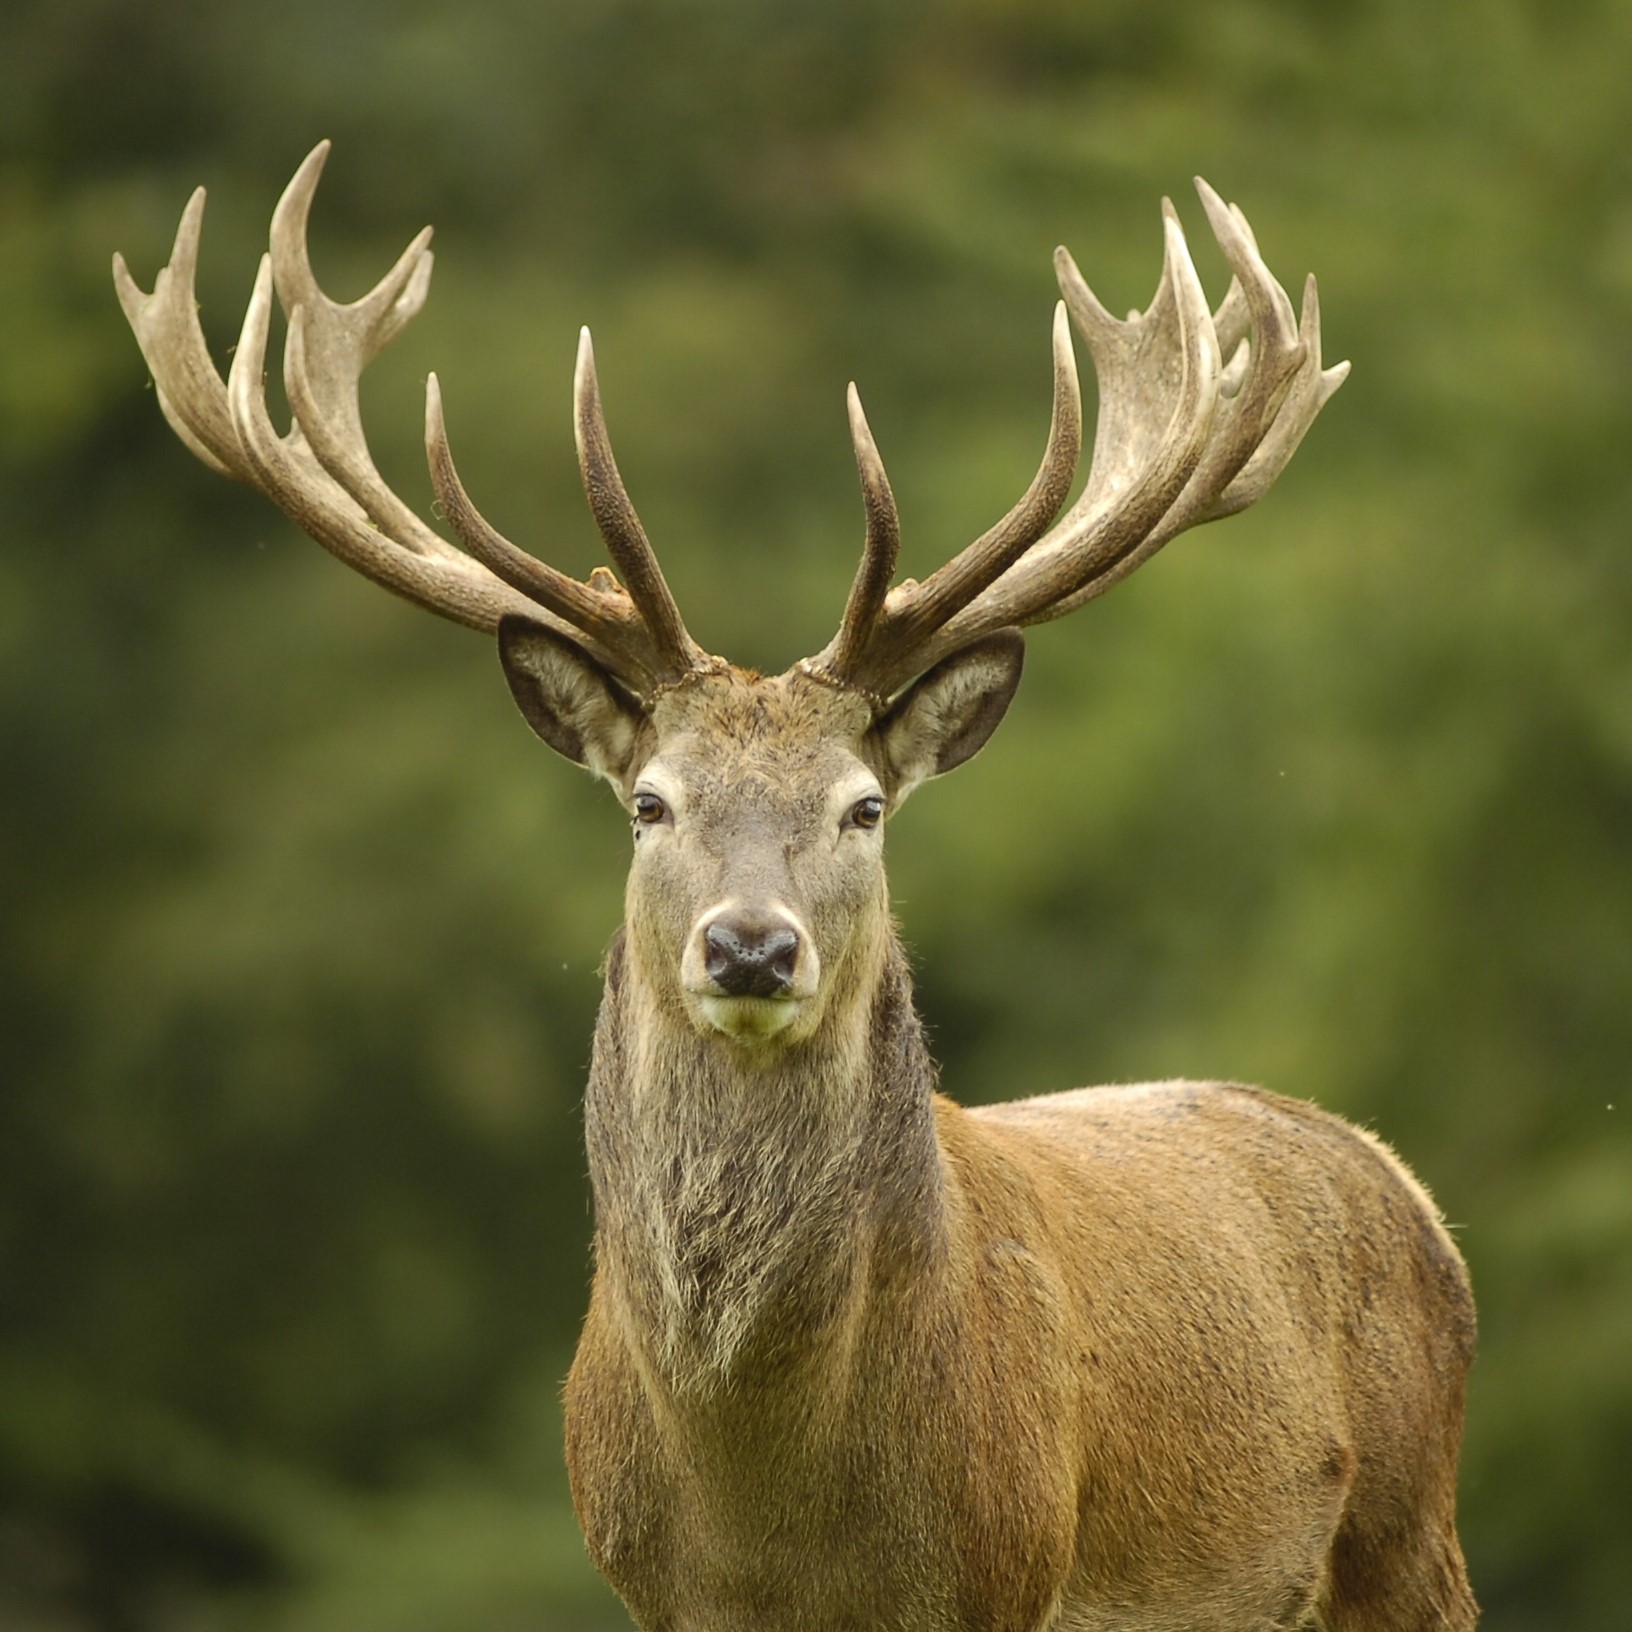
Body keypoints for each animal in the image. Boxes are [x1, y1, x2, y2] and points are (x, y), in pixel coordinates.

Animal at [114, 143, 1477, 1632]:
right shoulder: (648, 1591)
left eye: (862, 807)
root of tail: (1407, 1190)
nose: (752, 950)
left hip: (1410, 1537)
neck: (769, 1506)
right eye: (649, 803)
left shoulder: (1008, 1574)